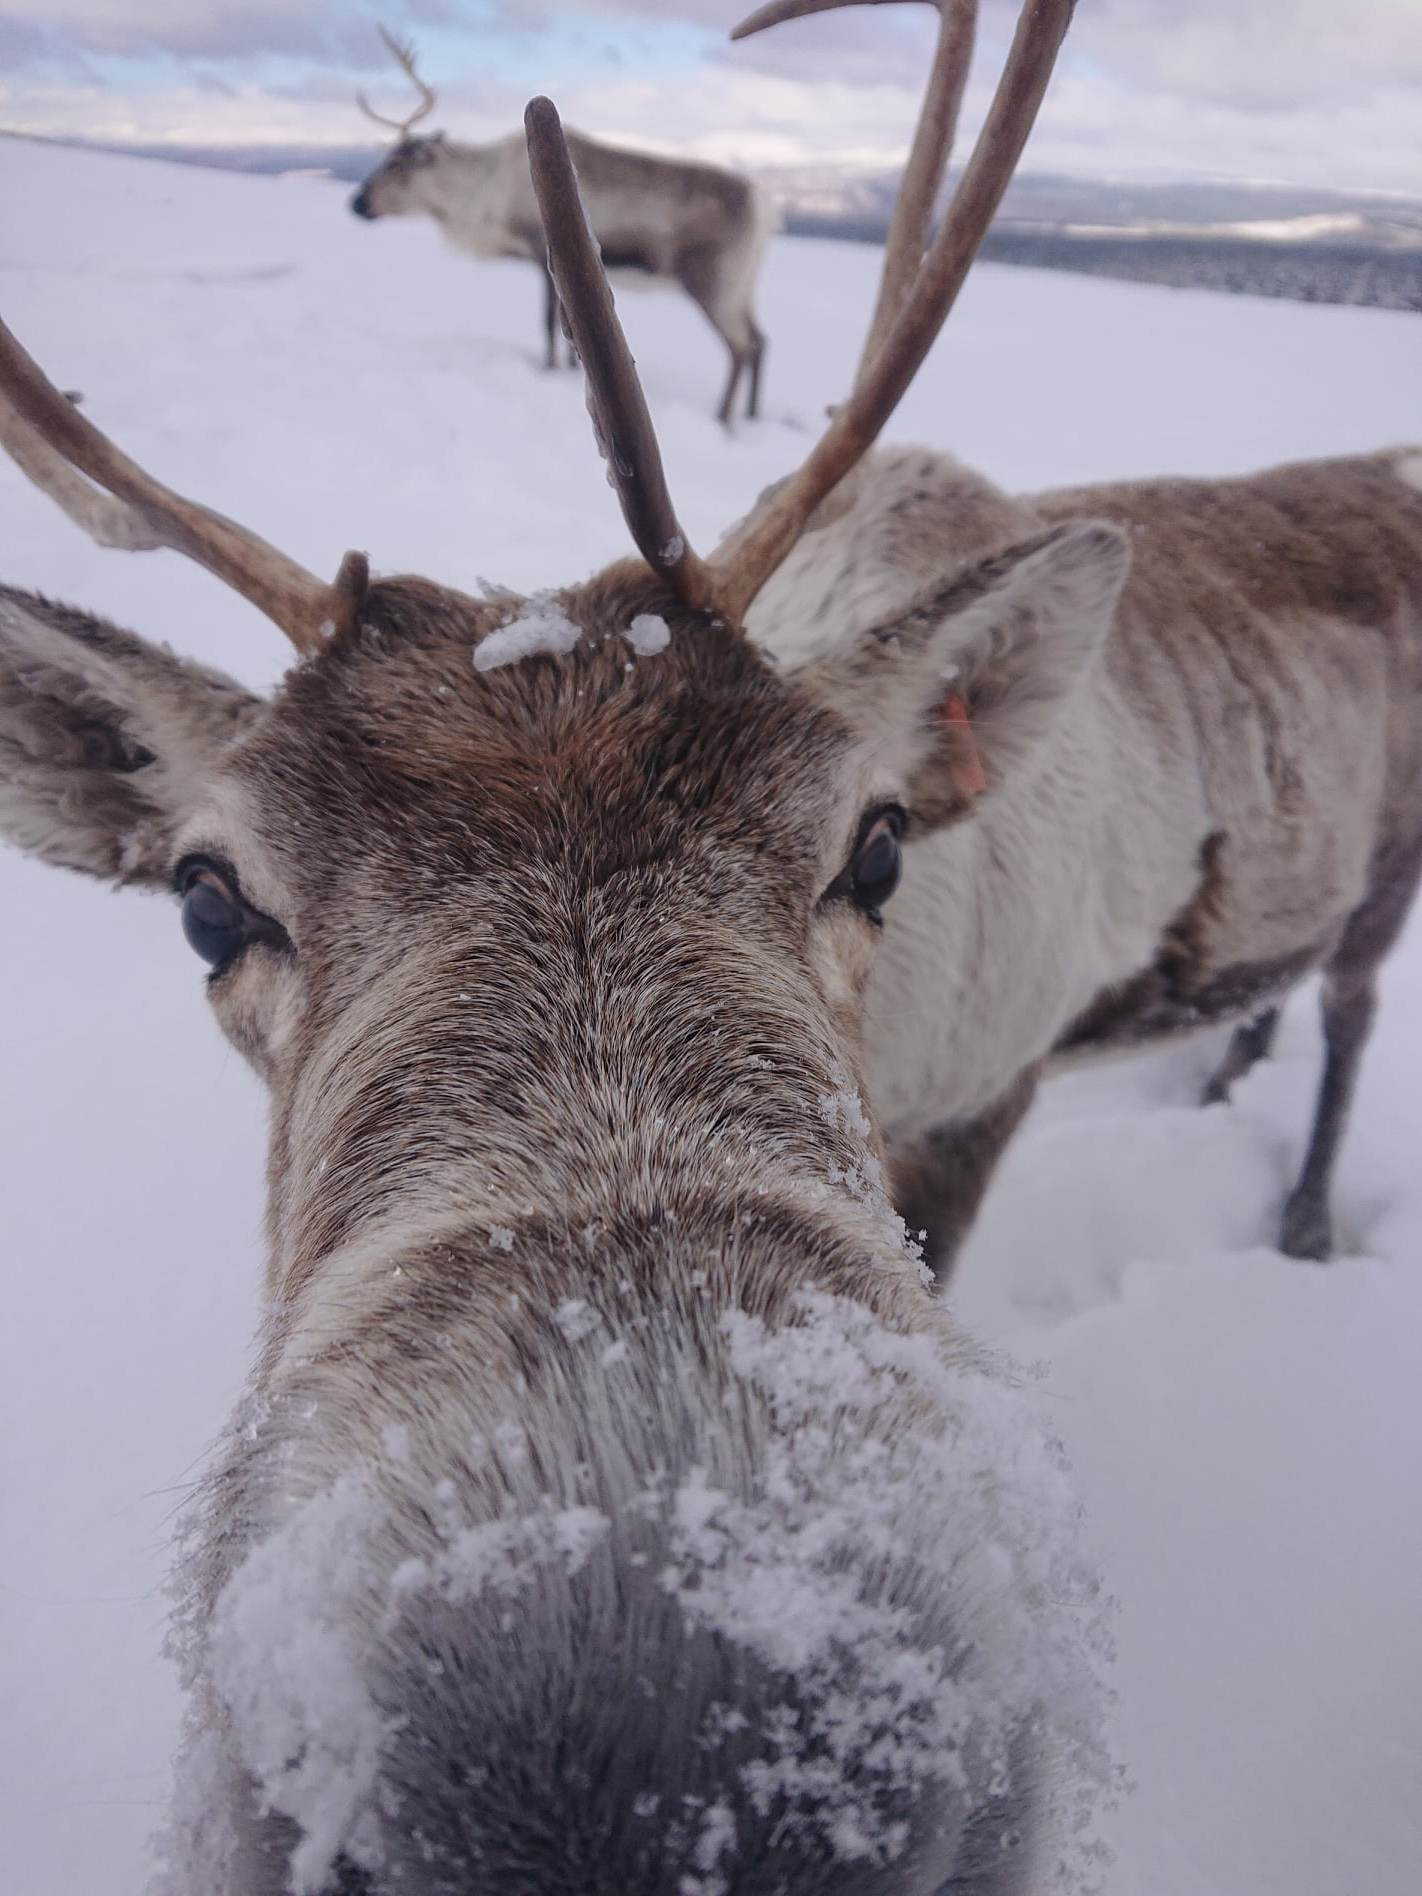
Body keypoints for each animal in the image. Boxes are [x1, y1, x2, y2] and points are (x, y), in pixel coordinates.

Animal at [349, 26, 773, 426]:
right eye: (386, 157)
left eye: (398, 164)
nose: (356, 202)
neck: (485, 195)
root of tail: (762, 204)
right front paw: (572, 371)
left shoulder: (543, 252)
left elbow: (547, 321)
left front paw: (550, 368)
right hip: (742, 285)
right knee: (761, 340)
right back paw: (751, 415)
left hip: (714, 282)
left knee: (740, 347)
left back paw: (723, 417)